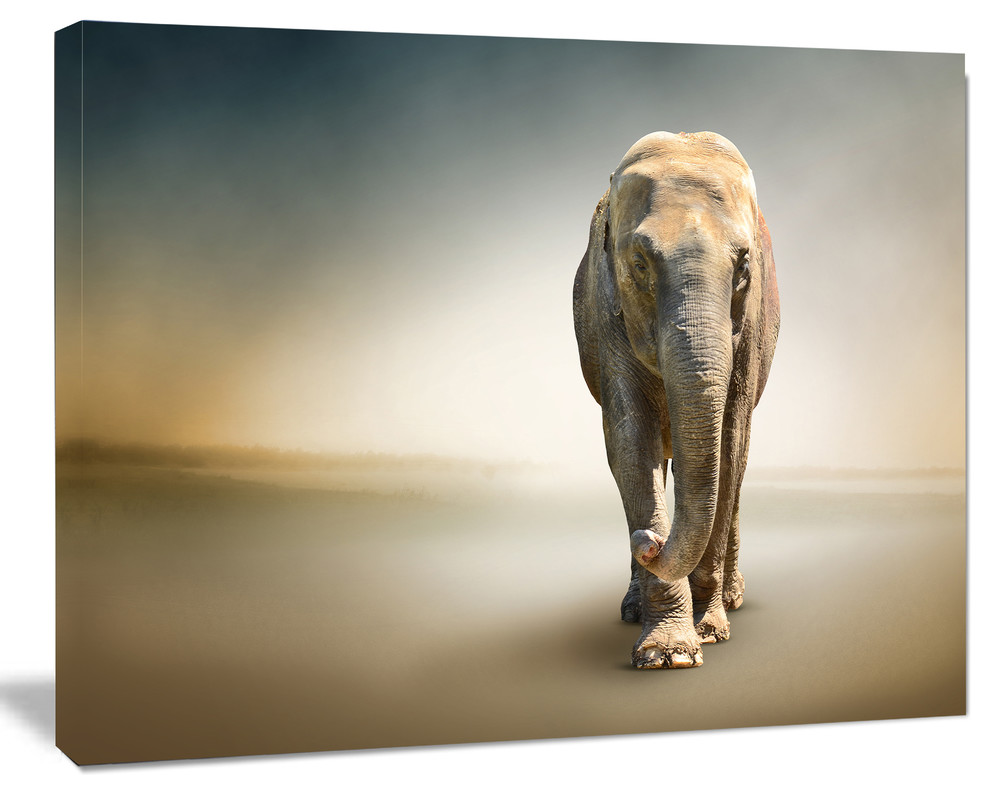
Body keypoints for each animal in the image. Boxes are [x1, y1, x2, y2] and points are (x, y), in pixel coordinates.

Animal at [573, 131, 780, 669]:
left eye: (743, 265)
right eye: (639, 263)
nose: (649, 543)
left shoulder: (749, 327)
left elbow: (730, 445)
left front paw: (708, 632)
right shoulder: (606, 311)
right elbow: (630, 444)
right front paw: (668, 654)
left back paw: (732, 598)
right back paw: (632, 606)